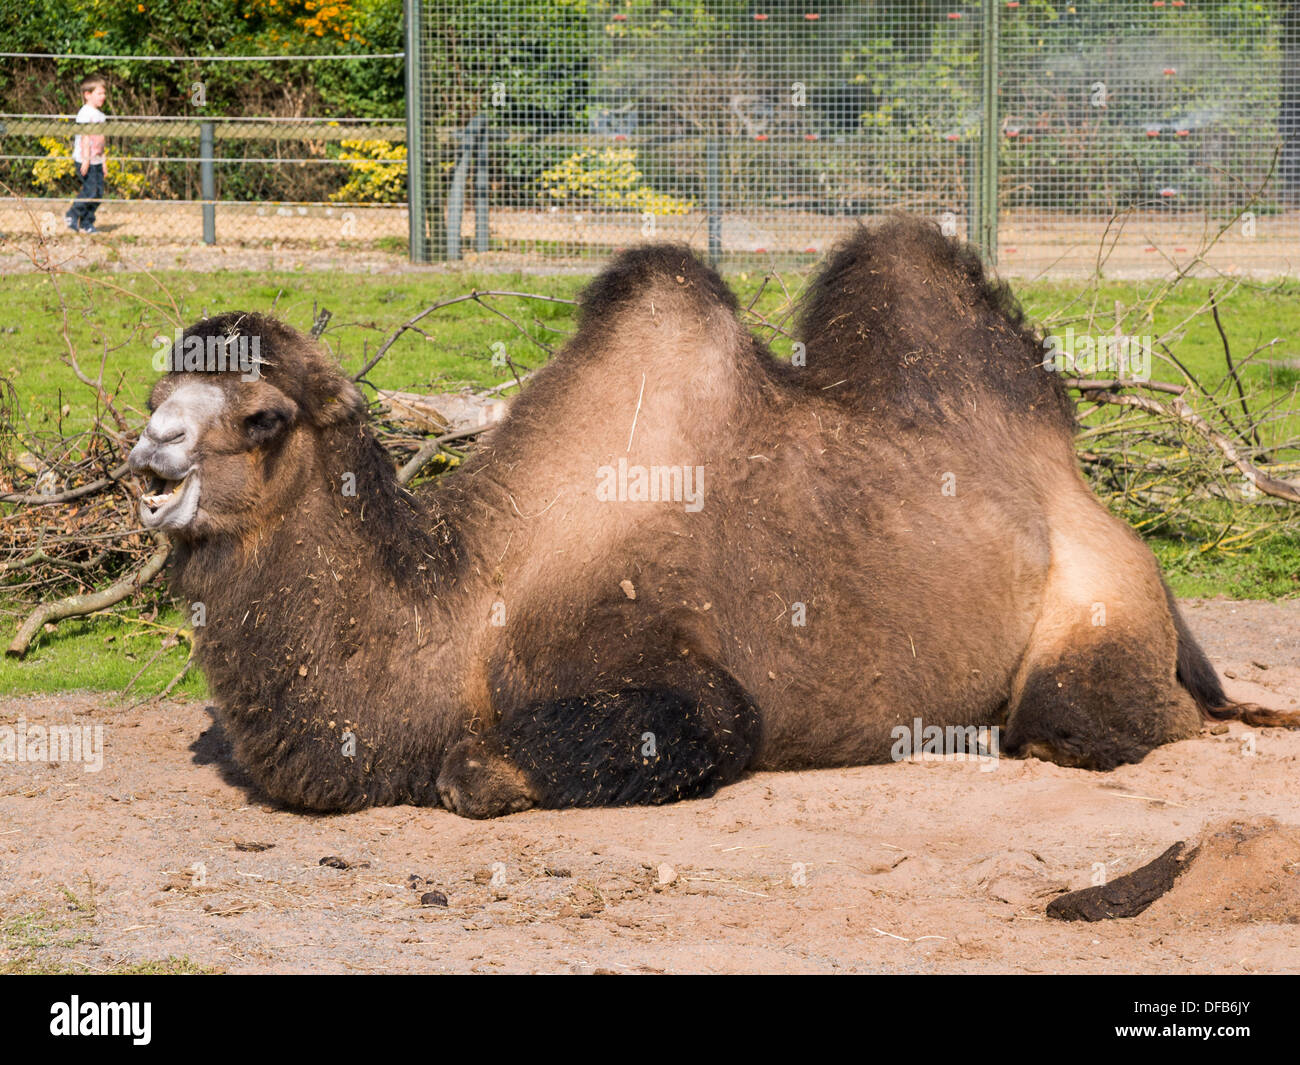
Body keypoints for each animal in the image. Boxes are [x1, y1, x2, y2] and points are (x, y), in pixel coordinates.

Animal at [127, 215, 1279, 818]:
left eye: (264, 415)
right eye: (155, 395)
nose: (149, 465)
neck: (464, 607)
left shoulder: (670, 657)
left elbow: (686, 728)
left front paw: (481, 767)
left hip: (1099, 612)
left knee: (1086, 715)